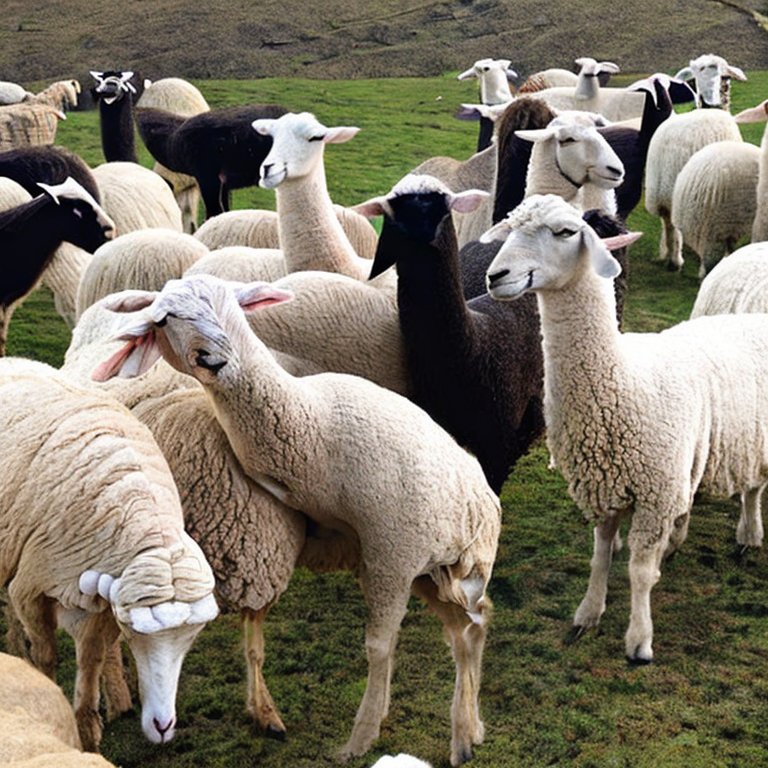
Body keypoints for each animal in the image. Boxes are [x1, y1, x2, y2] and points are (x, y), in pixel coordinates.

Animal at [0, 358, 218, 750]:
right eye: (133, 634)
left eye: (190, 639)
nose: (163, 725)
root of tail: (12, 360)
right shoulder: (30, 589)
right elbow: (46, 656)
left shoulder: (99, 606)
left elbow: (91, 661)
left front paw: (87, 733)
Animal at [95, 273, 502, 766]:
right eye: (163, 318)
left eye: (230, 303)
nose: (213, 356)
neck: (316, 430)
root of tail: (481, 490)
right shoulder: (382, 554)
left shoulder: (391, 553)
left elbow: (378, 646)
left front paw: (360, 738)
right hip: (434, 572)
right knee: (469, 629)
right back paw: (469, 732)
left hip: (457, 563)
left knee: (469, 625)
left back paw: (458, 733)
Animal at [484, 193, 768, 663]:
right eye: (508, 230)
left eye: (565, 231)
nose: (496, 276)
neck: (621, 380)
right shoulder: (604, 488)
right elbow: (600, 556)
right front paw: (587, 614)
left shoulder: (654, 493)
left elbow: (638, 570)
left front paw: (639, 640)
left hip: (754, 439)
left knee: (753, 488)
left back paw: (749, 533)